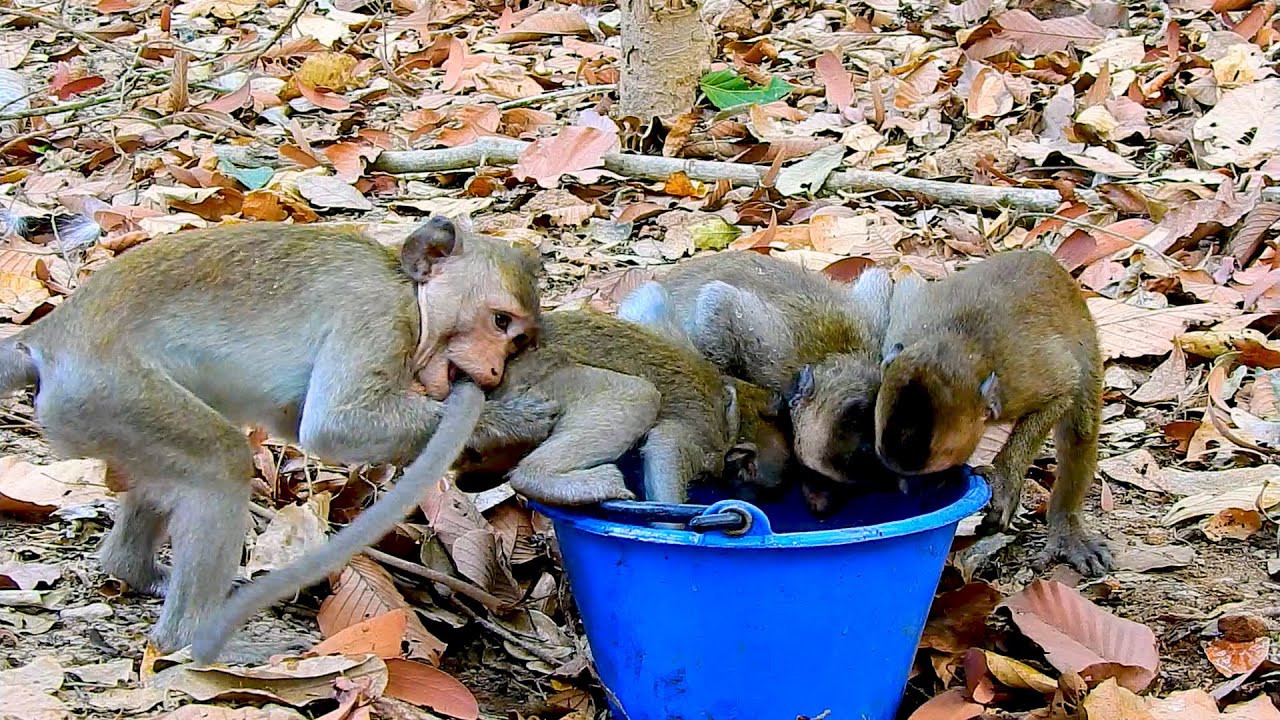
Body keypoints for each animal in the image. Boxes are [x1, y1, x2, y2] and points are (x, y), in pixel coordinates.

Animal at [0, 217, 560, 661]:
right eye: (500, 321)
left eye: (518, 341)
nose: (493, 372)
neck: (408, 288)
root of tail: (44, 338)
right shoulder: (377, 317)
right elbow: (333, 425)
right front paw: (513, 419)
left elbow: (300, 420)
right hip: (104, 391)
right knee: (219, 461)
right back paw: (191, 638)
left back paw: (135, 571)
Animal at [453, 309, 792, 507]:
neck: (738, 416)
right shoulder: (704, 437)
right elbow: (666, 448)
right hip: (537, 387)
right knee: (637, 395)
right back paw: (536, 476)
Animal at [617, 251, 895, 503]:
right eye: (814, 475)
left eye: (842, 487)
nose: (821, 504)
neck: (831, 357)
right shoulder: (773, 357)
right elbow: (716, 303)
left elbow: (880, 277)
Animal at [875, 249, 1112, 576]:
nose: (910, 493)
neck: (960, 343)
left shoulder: (1020, 381)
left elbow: (1063, 391)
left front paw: (1004, 480)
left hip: (1084, 333)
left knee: (1081, 428)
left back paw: (1066, 524)